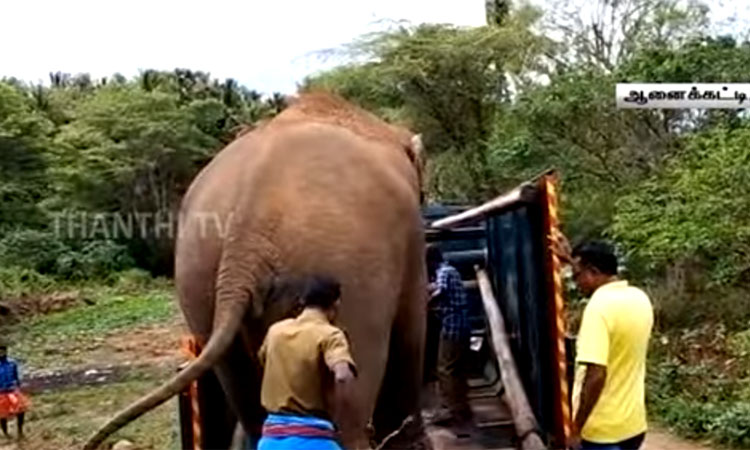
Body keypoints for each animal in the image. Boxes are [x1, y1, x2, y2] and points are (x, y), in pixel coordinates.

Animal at [84, 92, 429, 449]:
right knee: (349, 406)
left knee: (246, 398)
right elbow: (412, 325)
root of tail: (246, 230)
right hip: (350, 276)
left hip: (198, 276)